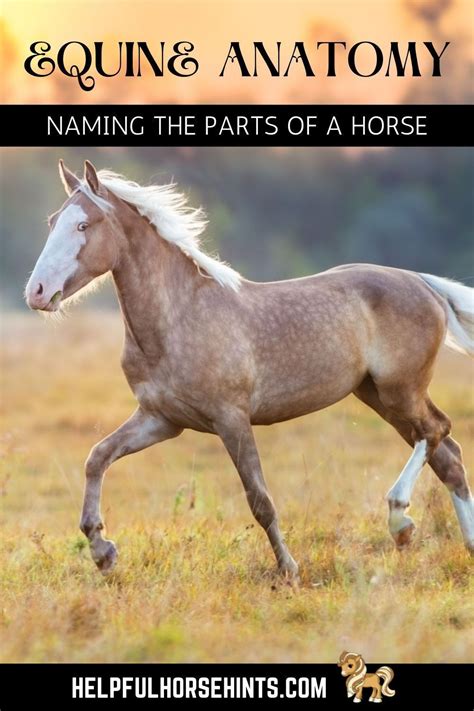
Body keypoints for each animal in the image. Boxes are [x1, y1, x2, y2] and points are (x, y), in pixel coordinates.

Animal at [25, 160, 474, 579]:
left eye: (84, 224)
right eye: (51, 222)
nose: (37, 292)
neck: (178, 317)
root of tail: (422, 282)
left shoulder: (231, 419)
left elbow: (260, 499)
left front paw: (289, 570)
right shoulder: (161, 420)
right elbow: (97, 457)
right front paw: (102, 551)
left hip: (401, 391)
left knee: (436, 432)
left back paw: (400, 520)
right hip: (377, 395)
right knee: (447, 455)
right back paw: (464, 545)